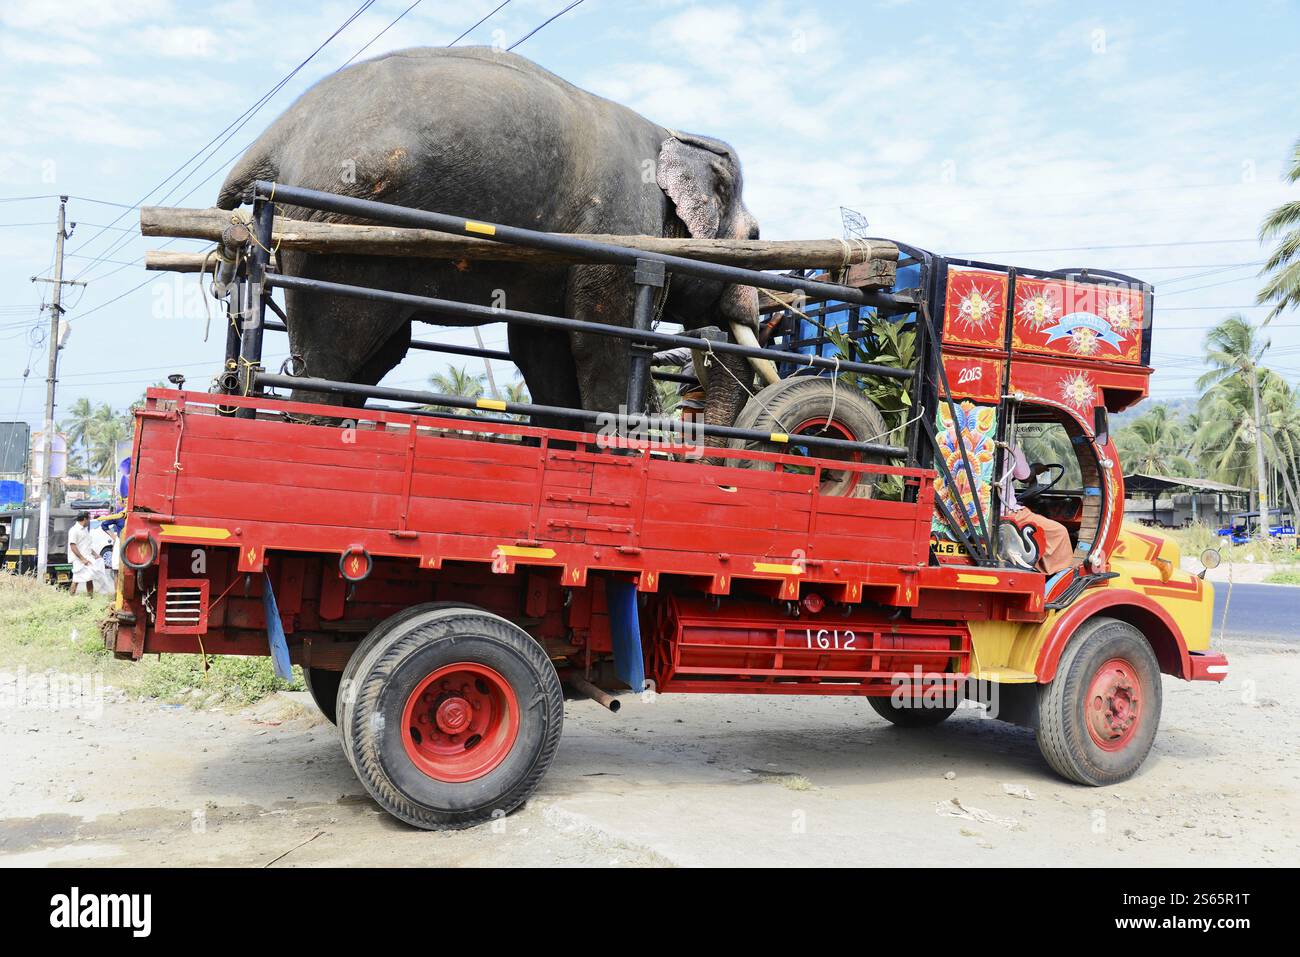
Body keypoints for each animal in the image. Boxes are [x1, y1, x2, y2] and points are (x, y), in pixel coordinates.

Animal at [216, 46, 778, 436]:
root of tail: (271, 141)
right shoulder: (619, 226)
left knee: (375, 353)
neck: (670, 132)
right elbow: (603, 337)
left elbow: (543, 344)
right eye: (754, 237)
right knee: (334, 356)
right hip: (337, 230)